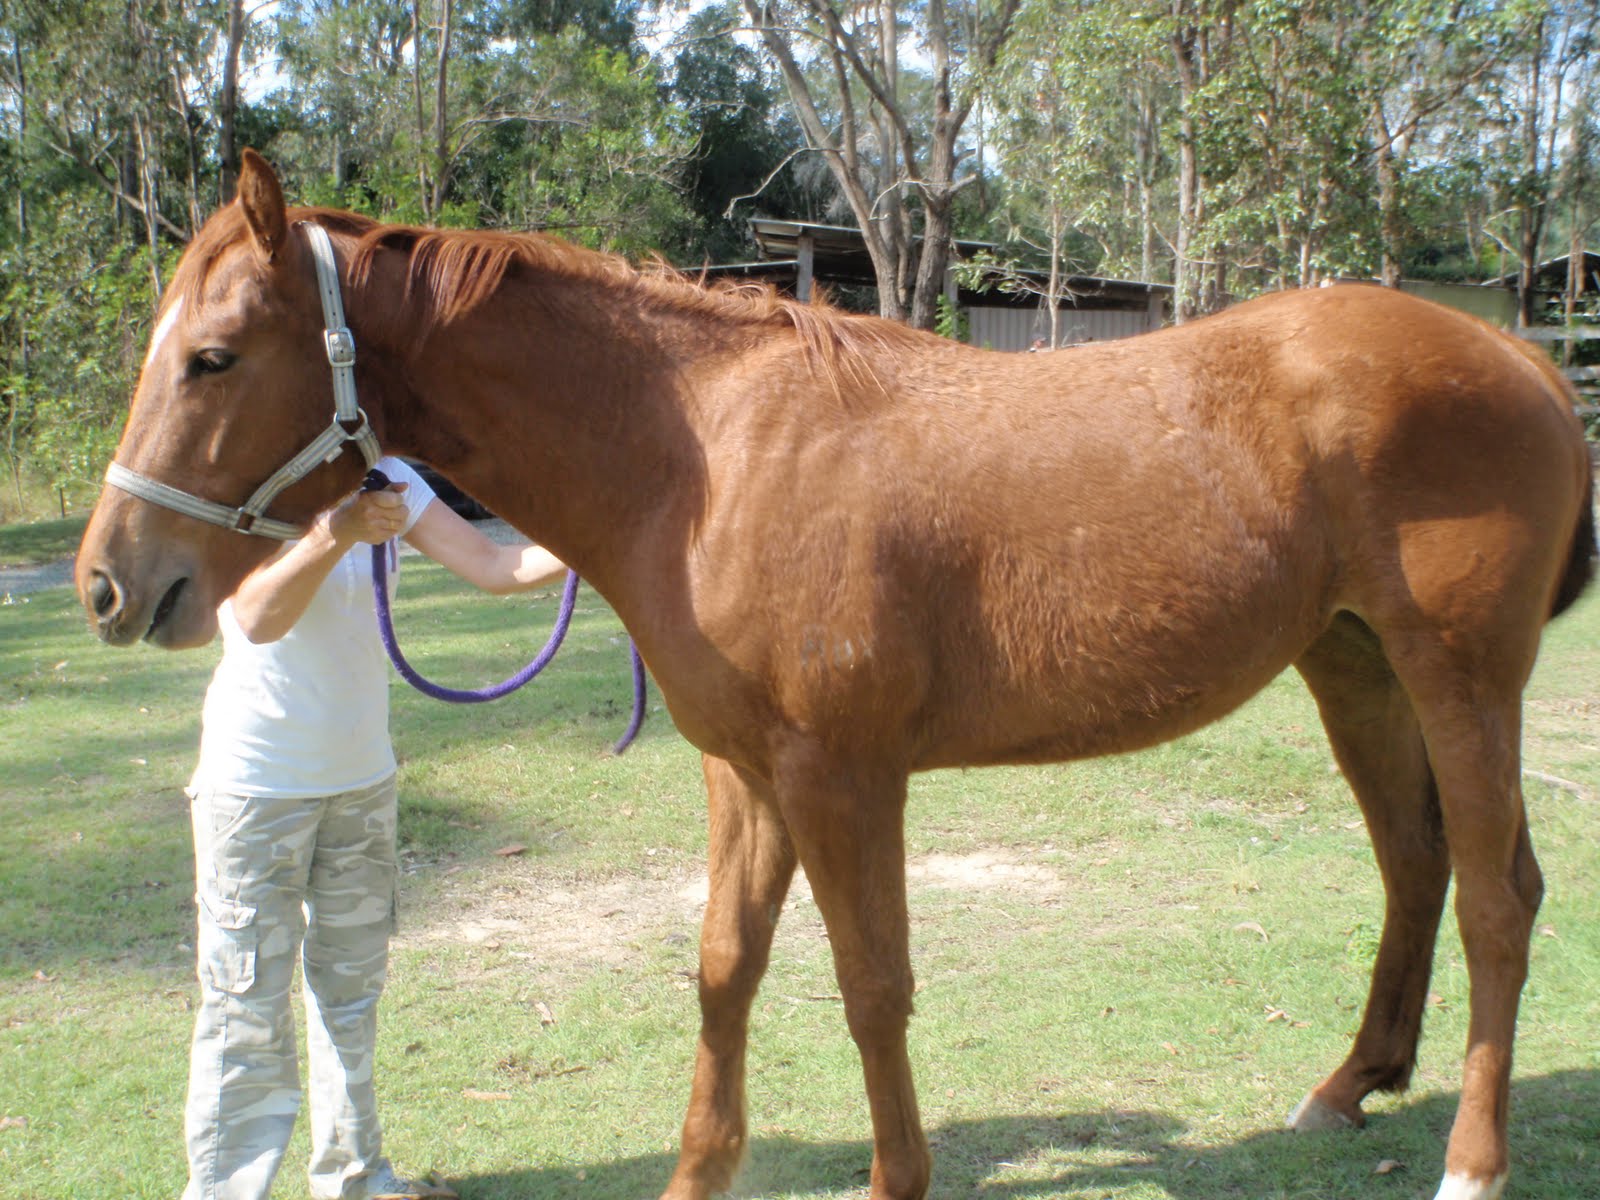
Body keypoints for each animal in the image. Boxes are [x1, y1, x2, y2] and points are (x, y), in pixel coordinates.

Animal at [77, 151, 1594, 1200]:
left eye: (211, 357)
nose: (107, 583)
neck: (703, 454)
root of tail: (1517, 353)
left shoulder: (840, 775)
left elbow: (872, 985)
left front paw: (893, 1176)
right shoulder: (743, 773)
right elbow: (724, 971)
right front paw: (698, 1171)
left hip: (1460, 675)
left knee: (1499, 900)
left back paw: (1469, 1159)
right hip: (1352, 663)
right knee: (1415, 863)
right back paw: (1348, 1086)